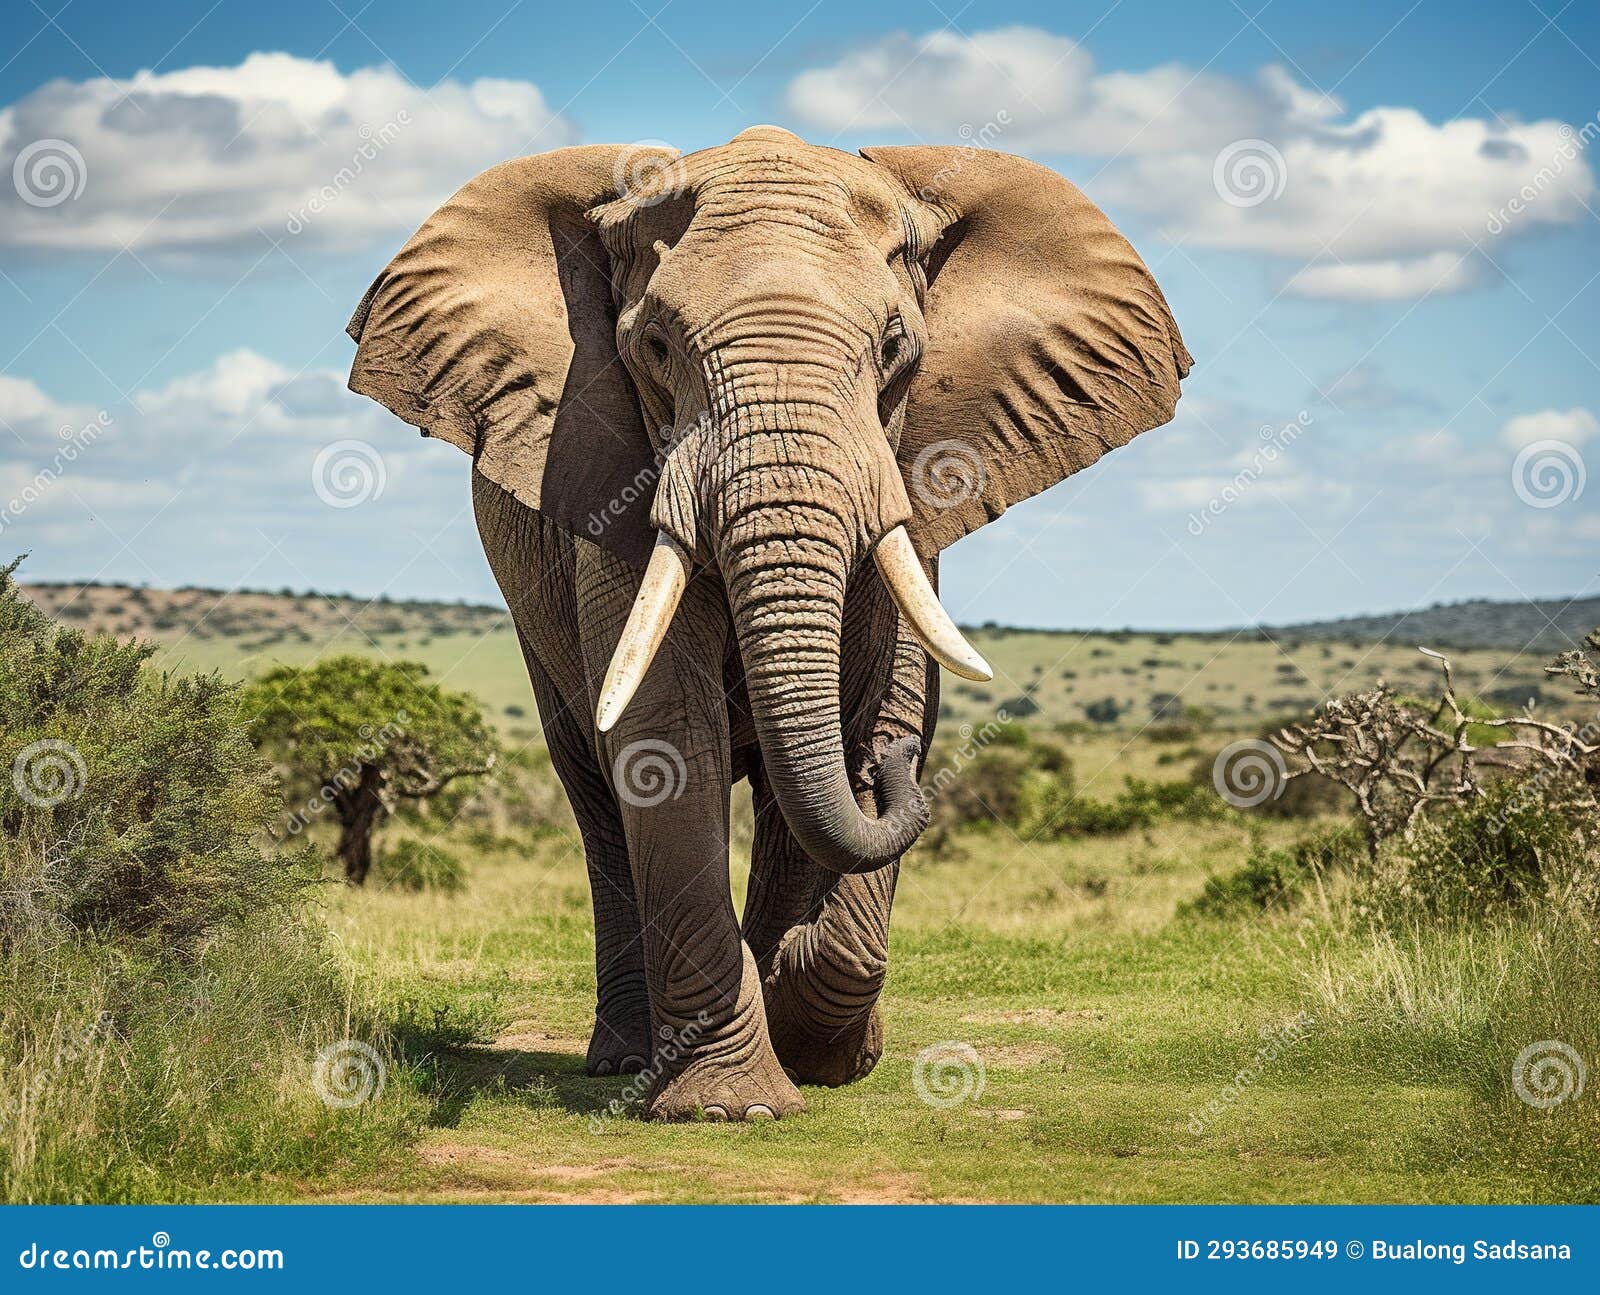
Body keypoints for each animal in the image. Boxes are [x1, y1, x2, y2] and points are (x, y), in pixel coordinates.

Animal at [345, 126, 1190, 1120]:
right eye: (655, 346)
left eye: (897, 347)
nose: (888, 773)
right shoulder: (611, 484)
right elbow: (664, 736)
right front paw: (730, 1103)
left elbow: (883, 706)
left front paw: (812, 1025)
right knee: (590, 784)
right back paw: (627, 1057)